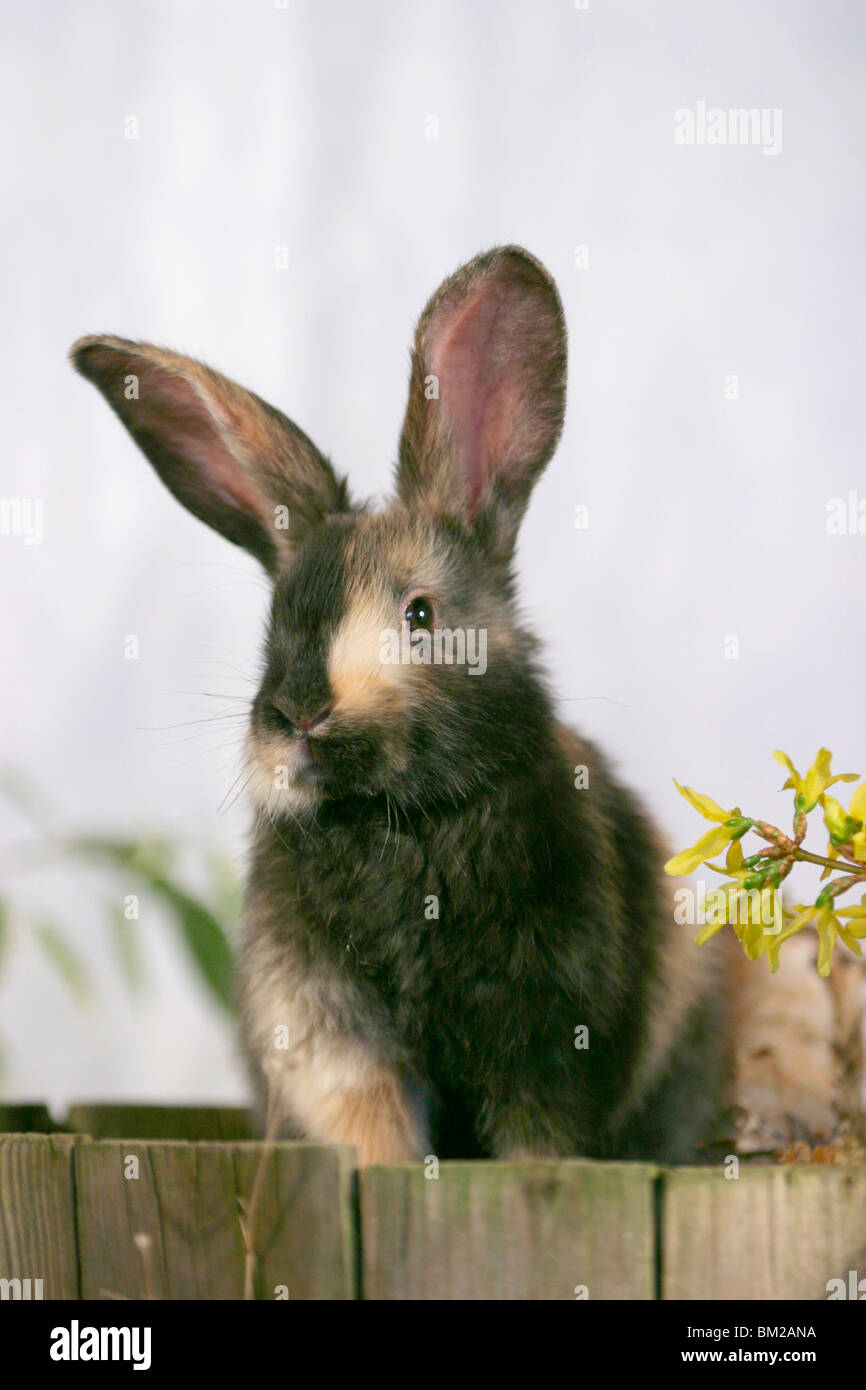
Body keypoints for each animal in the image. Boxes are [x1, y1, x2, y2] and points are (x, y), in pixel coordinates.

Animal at [71, 246, 737, 1165]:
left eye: (420, 615)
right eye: (275, 626)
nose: (299, 714)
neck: (399, 823)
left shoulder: (551, 1038)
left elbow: (539, 1138)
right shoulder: (329, 1034)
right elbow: (373, 1125)